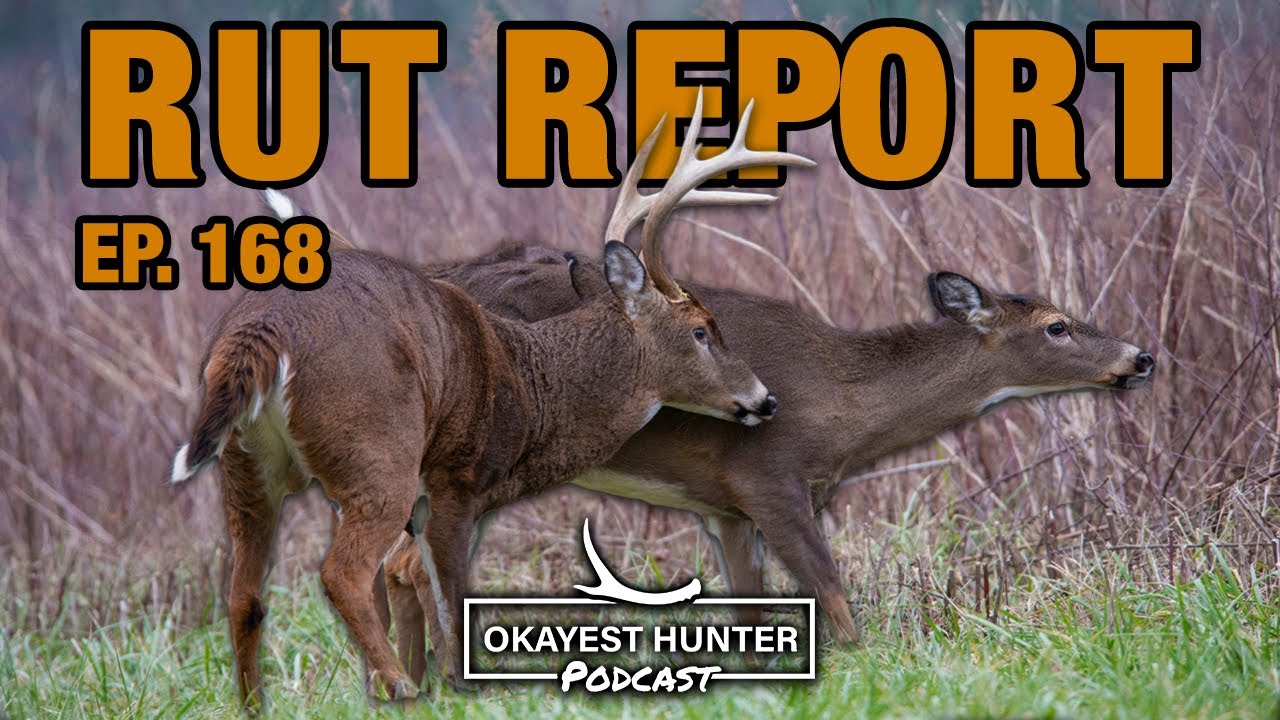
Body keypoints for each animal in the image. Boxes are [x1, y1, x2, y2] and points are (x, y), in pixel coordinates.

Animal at [168, 95, 813, 707]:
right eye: (703, 329)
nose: (766, 399)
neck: (533, 384)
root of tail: (262, 329)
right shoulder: (456, 482)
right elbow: (449, 594)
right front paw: (458, 687)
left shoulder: (434, 501)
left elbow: (426, 586)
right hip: (377, 454)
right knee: (341, 573)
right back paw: (397, 686)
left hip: (245, 468)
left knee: (244, 595)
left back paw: (261, 704)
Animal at [381, 230, 1156, 681]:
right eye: (1057, 325)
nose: (1141, 356)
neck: (842, 399)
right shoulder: (769, 478)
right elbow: (834, 597)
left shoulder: (725, 506)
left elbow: (750, 611)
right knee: (413, 565)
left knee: (397, 563)